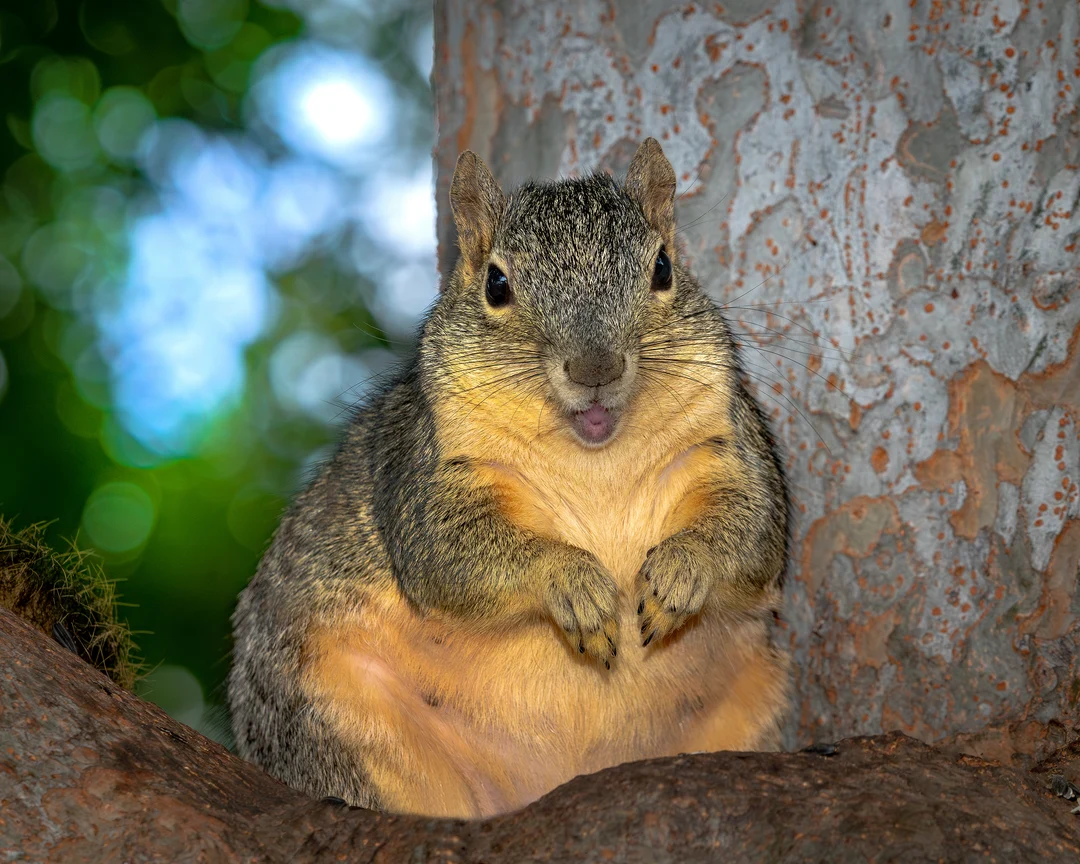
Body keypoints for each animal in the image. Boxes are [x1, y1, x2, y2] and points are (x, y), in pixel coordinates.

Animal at [227, 138, 792, 819]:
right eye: (496, 284)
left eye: (663, 268)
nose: (596, 368)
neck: (595, 459)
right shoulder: (428, 474)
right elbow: (449, 555)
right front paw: (572, 583)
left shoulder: (728, 445)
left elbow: (754, 532)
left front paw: (681, 570)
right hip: (332, 717)